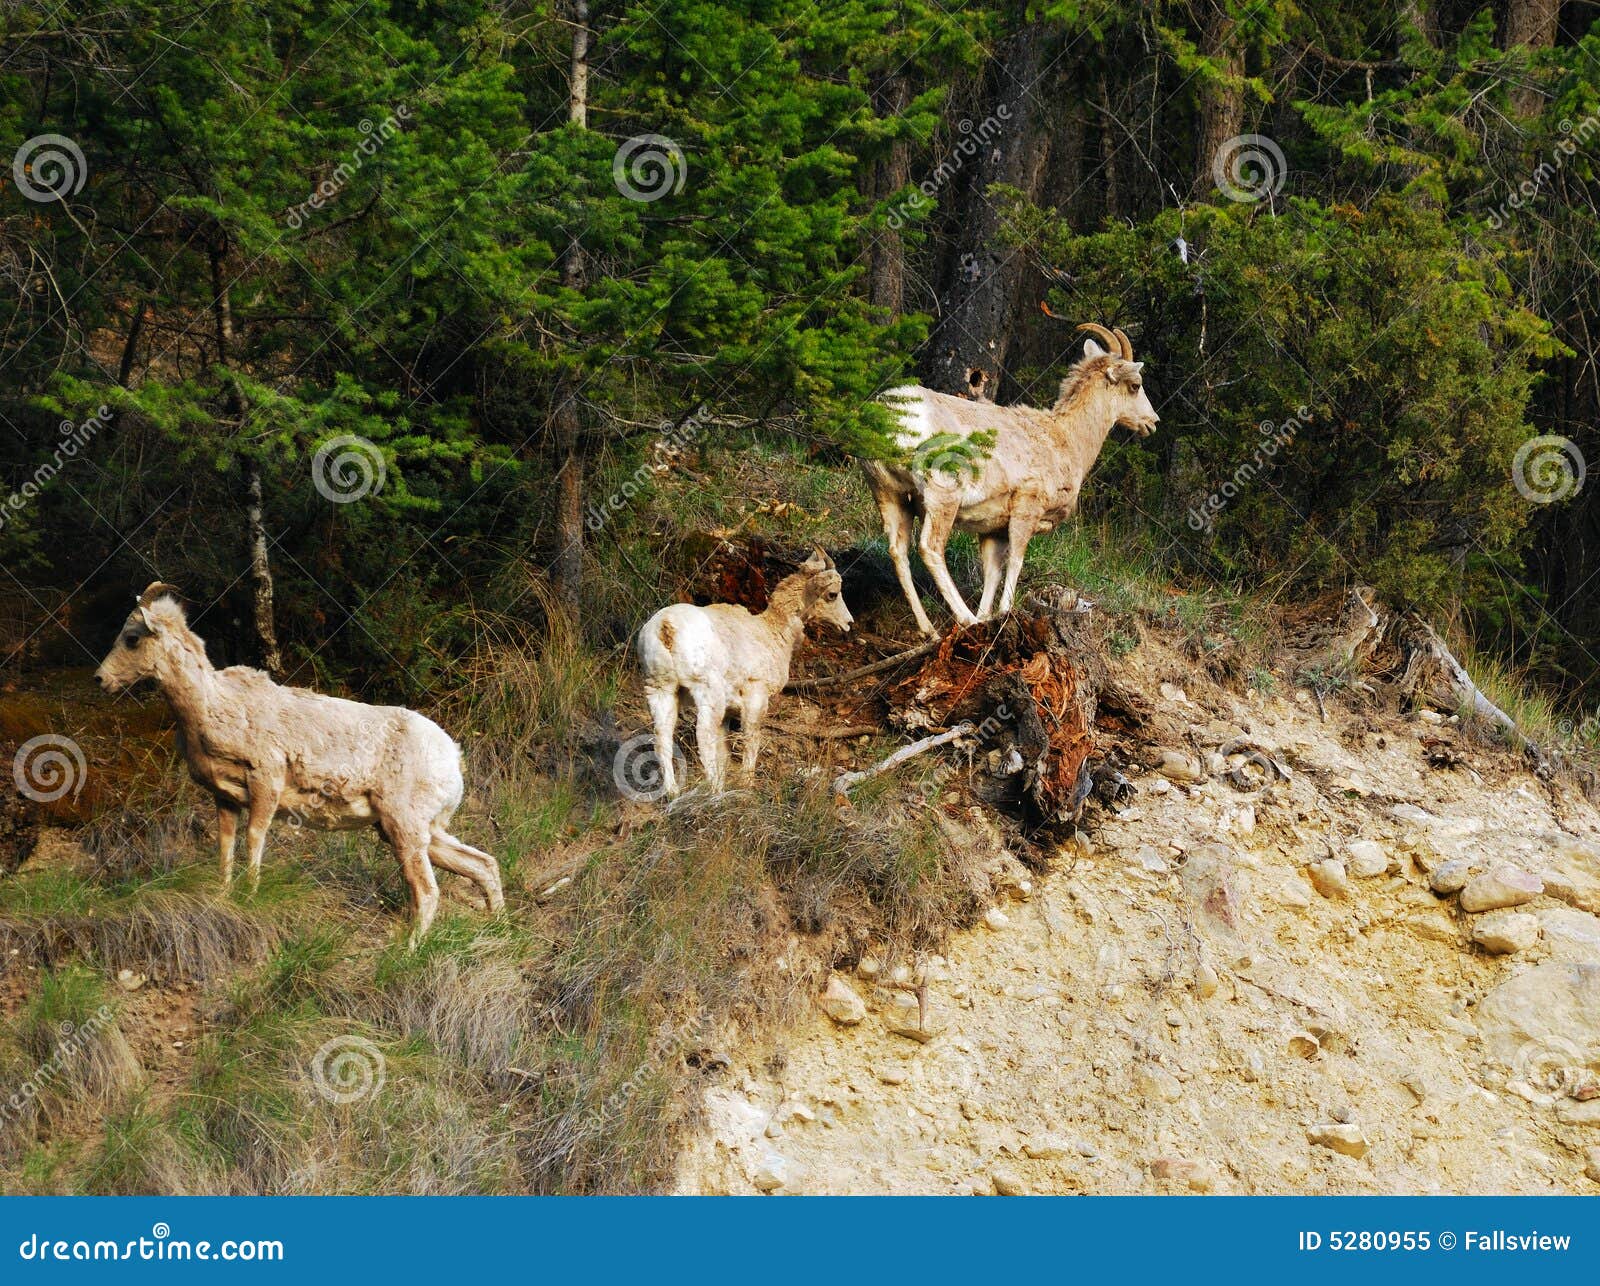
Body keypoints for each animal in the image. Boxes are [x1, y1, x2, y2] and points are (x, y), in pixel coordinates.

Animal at [94, 583, 503, 945]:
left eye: (132, 637)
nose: (100, 679)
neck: (212, 708)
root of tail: (454, 757)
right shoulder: (224, 798)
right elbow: (225, 847)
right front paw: (224, 896)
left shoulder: (266, 783)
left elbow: (253, 839)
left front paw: (250, 895)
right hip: (419, 830)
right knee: (484, 865)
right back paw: (500, 928)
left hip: (405, 827)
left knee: (428, 891)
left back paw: (409, 949)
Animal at [636, 549, 853, 796]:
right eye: (832, 594)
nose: (848, 623)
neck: (771, 631)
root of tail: (666, 627)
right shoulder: (755, 697)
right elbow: (751, 738)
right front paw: (746, 785)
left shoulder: (729, 714)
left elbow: (724, 750)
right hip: (707, 692)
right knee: (704, 737)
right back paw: (715, 791)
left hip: (660, 689)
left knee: (662, 737)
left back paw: (673, 792)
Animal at [863, 320, 1160, 636]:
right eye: (1135, 385)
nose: (1152, 422)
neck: (1065, 439)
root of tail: (892, 413)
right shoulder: (1026, 510)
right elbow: (1016, 562)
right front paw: (1003, 614)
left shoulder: (993, 530)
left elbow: (992, 572)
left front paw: (987, 619)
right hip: (942, 497)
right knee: (930, 547)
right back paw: (966, 619)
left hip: (890, 496)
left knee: (898, 552)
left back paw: (930, 630)